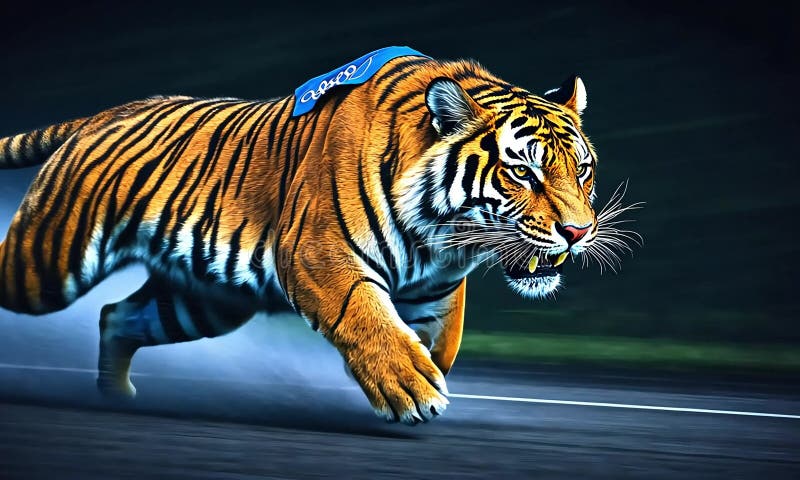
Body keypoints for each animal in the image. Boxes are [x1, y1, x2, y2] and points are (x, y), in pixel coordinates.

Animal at [0, 46, 609, 425]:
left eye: (581, 170)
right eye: (523, 172)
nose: (578, 231)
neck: (437, 237)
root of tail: (104, 113)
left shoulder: (436, 290)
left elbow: (442, 340)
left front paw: (424, 372)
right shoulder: (318, 254)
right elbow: (367, 317)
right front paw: (408, 386)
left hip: (205, 302)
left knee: (115, 316)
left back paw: (118, 398)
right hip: (45, 265)